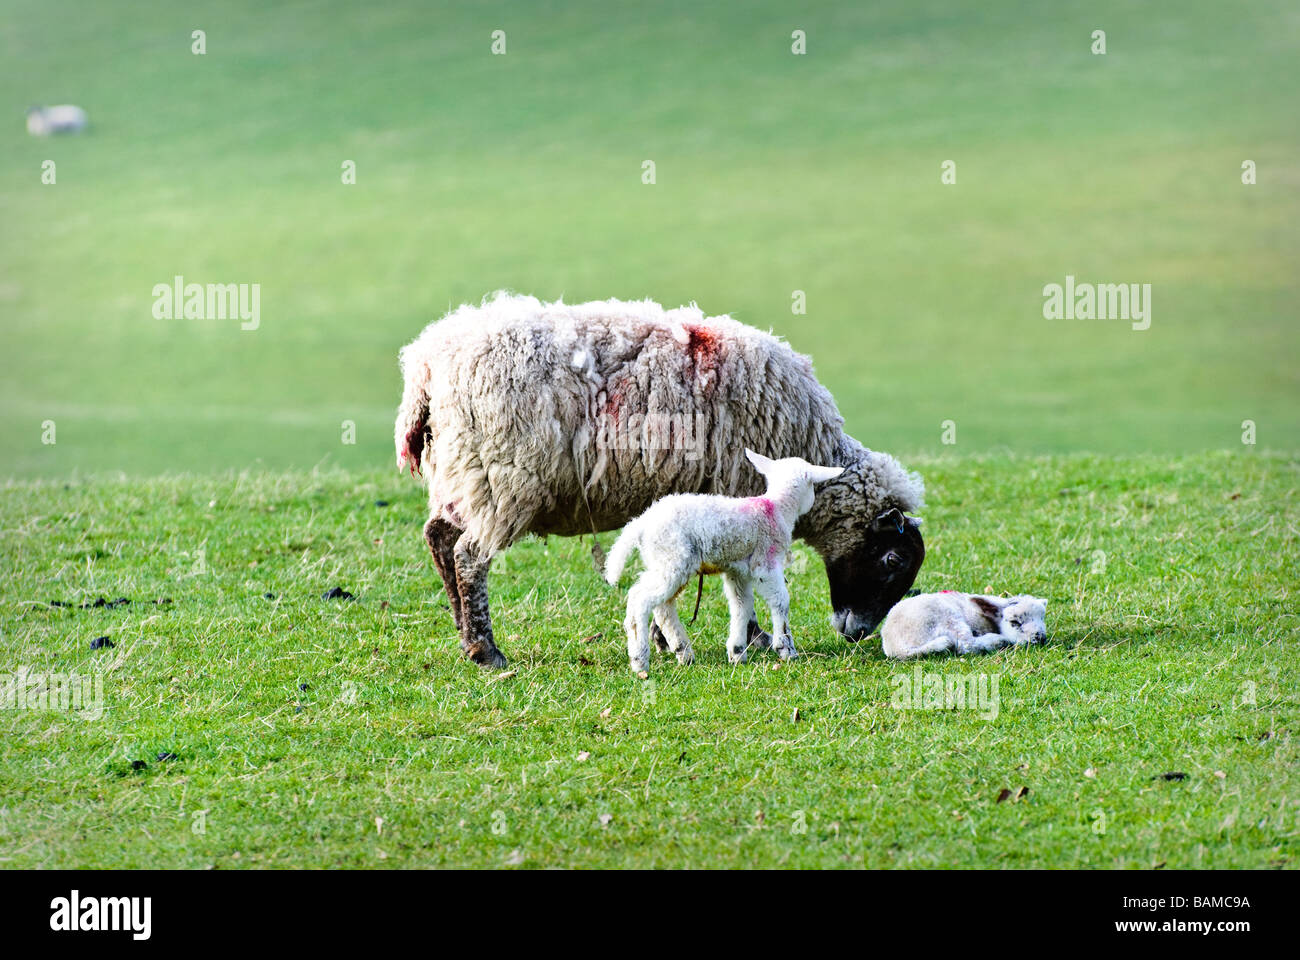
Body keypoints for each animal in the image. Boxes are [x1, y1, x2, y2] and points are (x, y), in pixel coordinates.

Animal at [605, 449, 844, 671]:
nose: (812, 503)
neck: (775, 508)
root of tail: (640, 523)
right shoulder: (765, 564)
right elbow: (780, 601)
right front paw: (786, 648)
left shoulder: (736, 571)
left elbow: (741, 605)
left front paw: (737, 652)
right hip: (672, 558)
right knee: (639, 599)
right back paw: (639, 660)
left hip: (664, 562)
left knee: (664, 608)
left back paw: (683, 652)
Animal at [880, 592, 1048, 660]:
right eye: (1015, 622)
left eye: (1042, 617)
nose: (1040, 638)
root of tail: (897, 648)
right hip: (947, 617)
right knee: (966, 645)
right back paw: (997, 641)